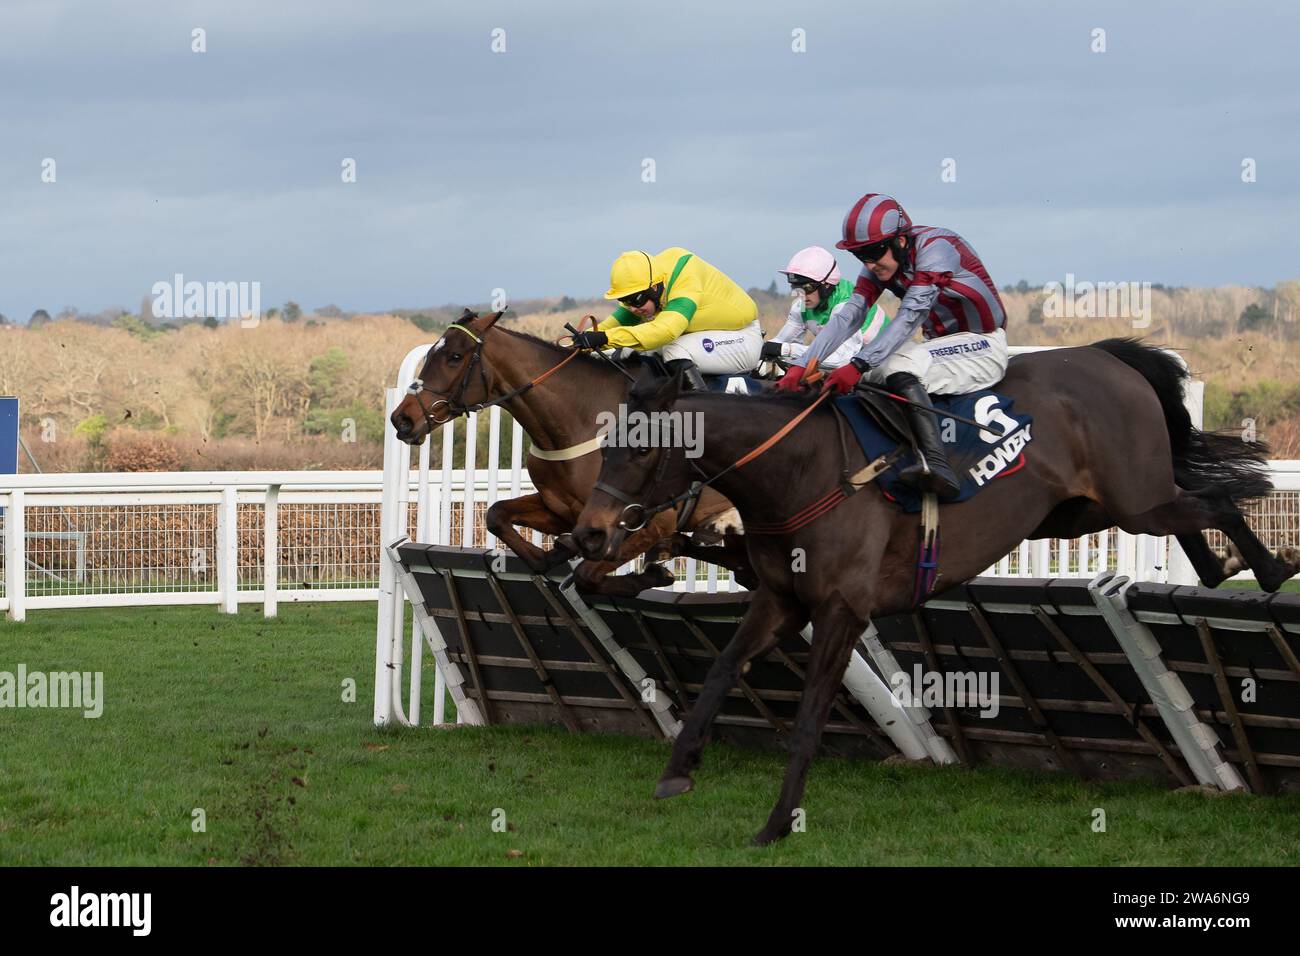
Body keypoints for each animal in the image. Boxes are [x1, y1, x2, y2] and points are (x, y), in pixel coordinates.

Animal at [388, 309, 753, 595]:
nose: (402, 418)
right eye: (432, 355)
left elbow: (588, 575)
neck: (582, 418)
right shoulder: (562, 510)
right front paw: (553, 554)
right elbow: (497, 515)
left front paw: (655, 572)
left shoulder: (651, 522)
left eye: (454, 357)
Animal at [570, 339, 1298, 845]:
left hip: (1131, 500)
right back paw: (1229, 569)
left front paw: (777, 824)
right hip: (1087, 510)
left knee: (1218, 502)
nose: (588, 533)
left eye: (642, 450)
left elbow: (809, 719)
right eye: (609, 441)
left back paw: (1270, 568)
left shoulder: (842, 611)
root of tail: (1104, 356)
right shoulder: (781, 602)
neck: (799, 471)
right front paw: (678, 770)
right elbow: (720, 673)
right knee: (1197, 511)